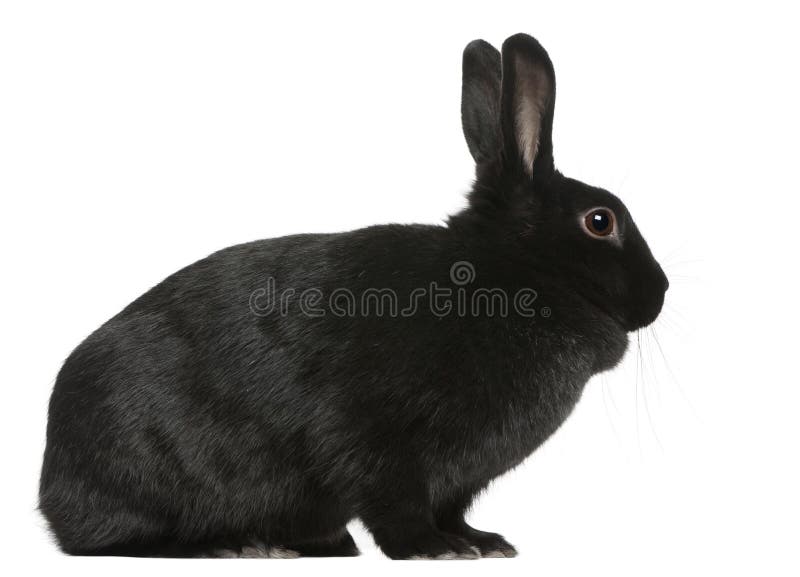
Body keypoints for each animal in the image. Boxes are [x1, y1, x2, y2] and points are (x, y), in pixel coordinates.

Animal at [39, 33, 668, 560]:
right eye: (600, 220)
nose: (660, 294)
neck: (513, 277)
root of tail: (51, 483)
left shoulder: (458, 480)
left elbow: (451, 509)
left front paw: (482, 543)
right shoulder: (374, 439)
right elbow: (394, 504)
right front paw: (435, 551)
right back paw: (234, 545)